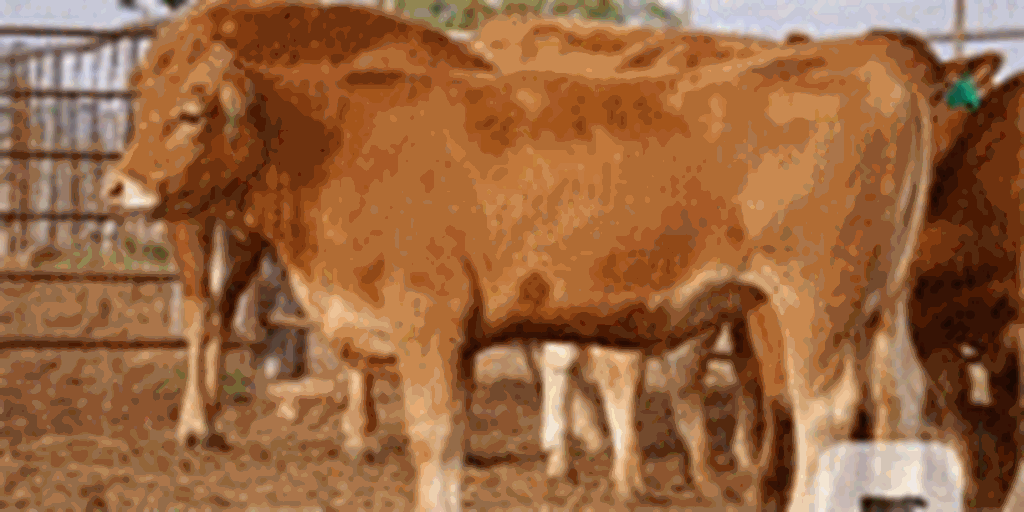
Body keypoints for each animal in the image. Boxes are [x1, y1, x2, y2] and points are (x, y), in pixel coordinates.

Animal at [99, 3, 997, 510]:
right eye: (141, 105)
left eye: (190, 113)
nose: (115, 186)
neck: (336, 143)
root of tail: (861, 64)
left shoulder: (428, 319)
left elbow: (436, 442)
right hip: (879, 305)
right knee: (902, 401)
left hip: (815, 302)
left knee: (825, 415)